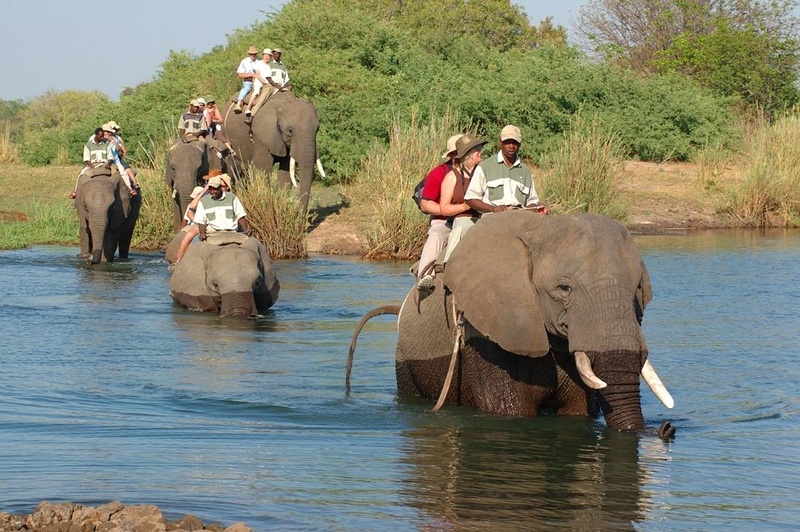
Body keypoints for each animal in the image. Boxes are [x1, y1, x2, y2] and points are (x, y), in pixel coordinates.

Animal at [348, 211, 676, 434]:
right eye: (564, 289)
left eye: (638, 289)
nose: (667, 429)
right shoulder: (491, 334)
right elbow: (512, 412)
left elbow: (578, 411)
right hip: (405, 359)